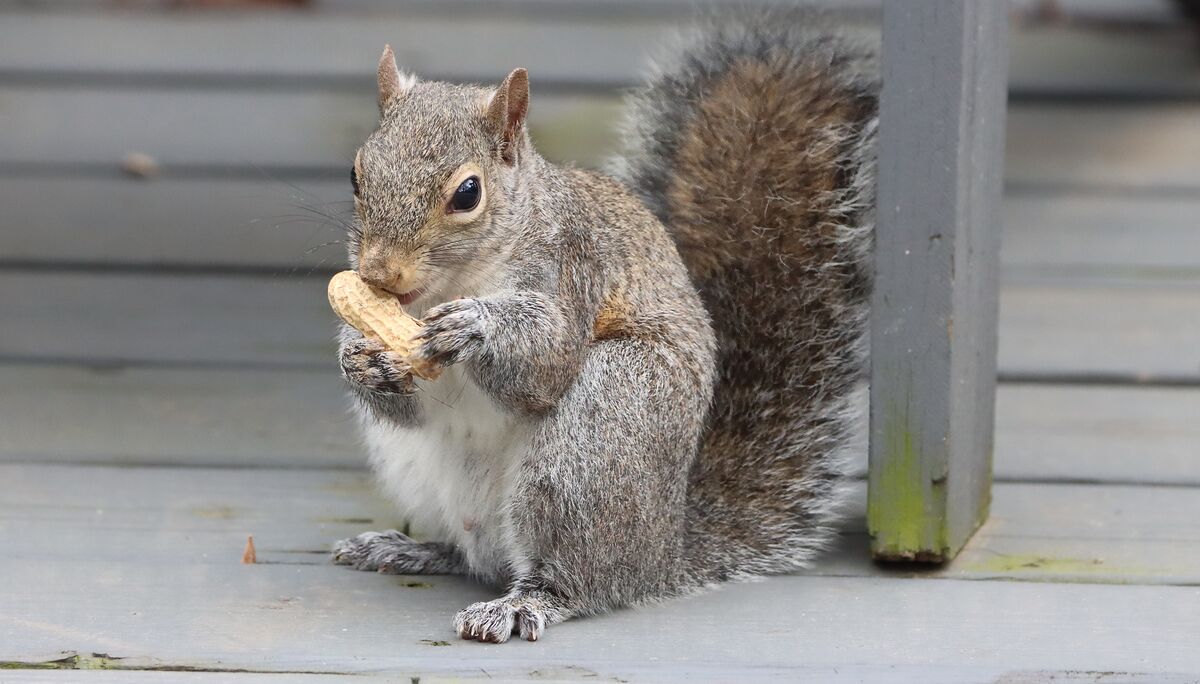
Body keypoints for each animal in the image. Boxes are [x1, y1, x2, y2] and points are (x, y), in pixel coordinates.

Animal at [331, 14, 878, 643]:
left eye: (468, 193)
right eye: (356, 173)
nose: (378, 273)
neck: (448, 288)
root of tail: (663, 551)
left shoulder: (573, 269)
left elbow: (546, 363)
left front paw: (476, 327)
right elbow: (407, 403)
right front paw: (359, 356)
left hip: (594, 438)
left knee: (575, 578)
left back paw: (523, 602)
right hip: (418, 472)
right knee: (474, 555)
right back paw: (412, 549)